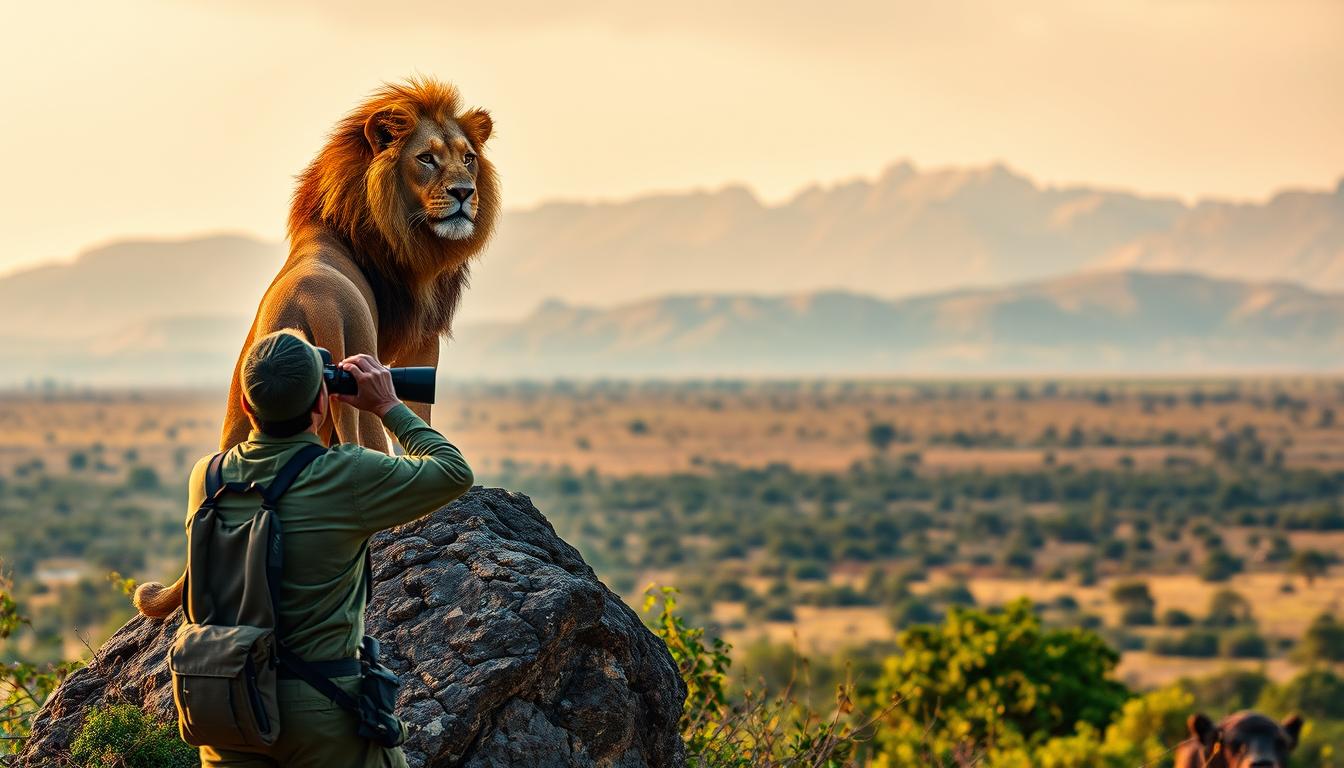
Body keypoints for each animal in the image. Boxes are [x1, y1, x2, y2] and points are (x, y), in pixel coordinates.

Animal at [133, 76, 499, 618]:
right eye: (427, 159)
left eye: (469, 158)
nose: (464, 193)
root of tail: (309, 305)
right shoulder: (418, 337)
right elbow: (422, 409)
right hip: (361, 384)